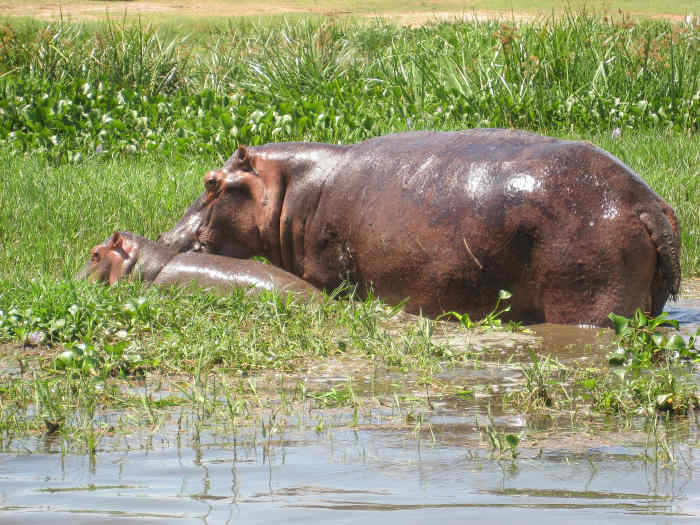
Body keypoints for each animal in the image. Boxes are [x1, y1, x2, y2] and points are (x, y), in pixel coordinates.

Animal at [159, 128, 681, 325]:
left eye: (211, 182)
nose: (164, 237)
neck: (294, 189)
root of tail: (645, 204)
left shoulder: (329, 276)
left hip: (590, 301)